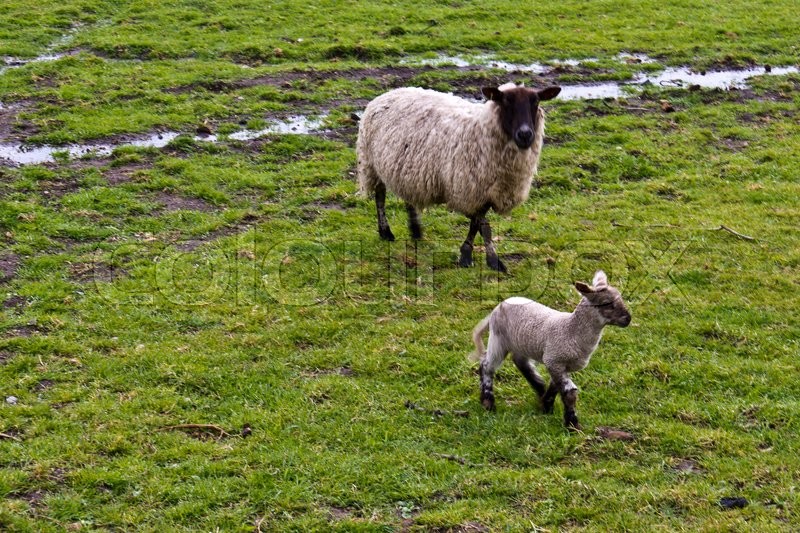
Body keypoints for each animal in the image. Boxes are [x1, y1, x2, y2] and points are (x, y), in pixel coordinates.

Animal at [356, 82, 561, 272]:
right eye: (505, 102)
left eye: (536, 102)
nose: (525, 134)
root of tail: (390, 92)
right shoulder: (471, 189)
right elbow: (484, 227)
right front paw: (486, 259)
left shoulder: (485, 191)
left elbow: (476, 225)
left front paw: (470, 254)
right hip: (372, 164)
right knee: (380, 197)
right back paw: (385, 231)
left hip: (409, 169)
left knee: (409, 197)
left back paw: (415, 230)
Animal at [470, 271, 631, 430]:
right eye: (606, 303)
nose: (628, 318)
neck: (571, 330)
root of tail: (498, 306)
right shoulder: (554, 359)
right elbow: (570, 393)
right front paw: (572, 424)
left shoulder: (560, 364)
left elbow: (556, 387)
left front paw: (546, 406)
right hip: (498, 339)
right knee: (487, 366)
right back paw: (488, 402)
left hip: (522, 342)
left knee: (519, 361)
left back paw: (539, 386)